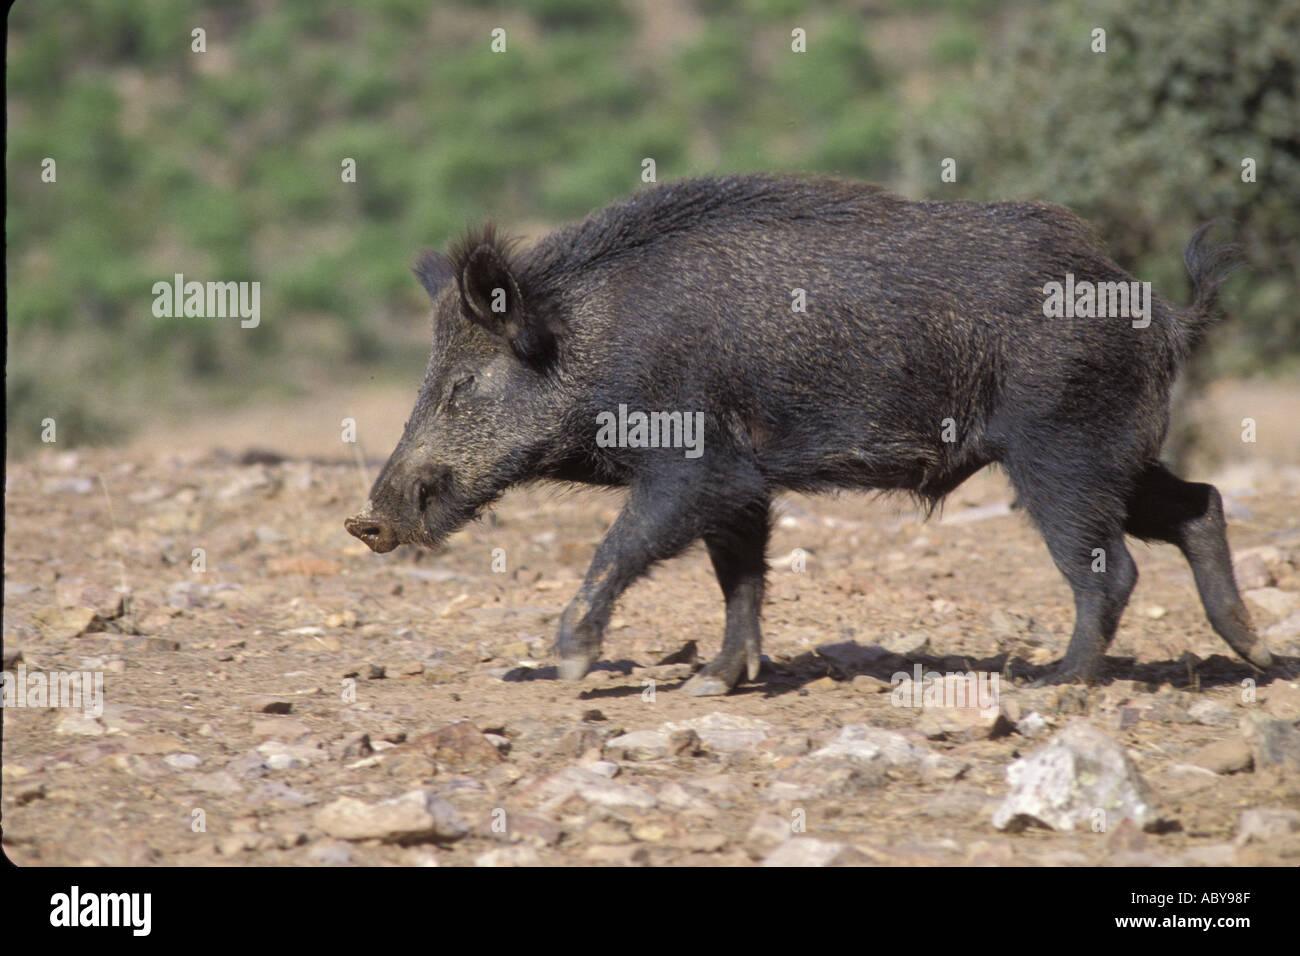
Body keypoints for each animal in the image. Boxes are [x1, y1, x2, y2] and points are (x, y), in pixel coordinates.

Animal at [345, 174, 1273, 694]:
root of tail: (1163, 313)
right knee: (1199, 503)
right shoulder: (746, 483)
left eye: (462, 385)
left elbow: (625, 546)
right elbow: (739, 578)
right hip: (1117, 451)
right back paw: (1256, 654)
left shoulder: (696, 464)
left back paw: (1057, 685)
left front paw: (573, 666)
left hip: (1060, 452)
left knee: (1111, 569)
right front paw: (715, 685)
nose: (366, 520)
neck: (594, 341)